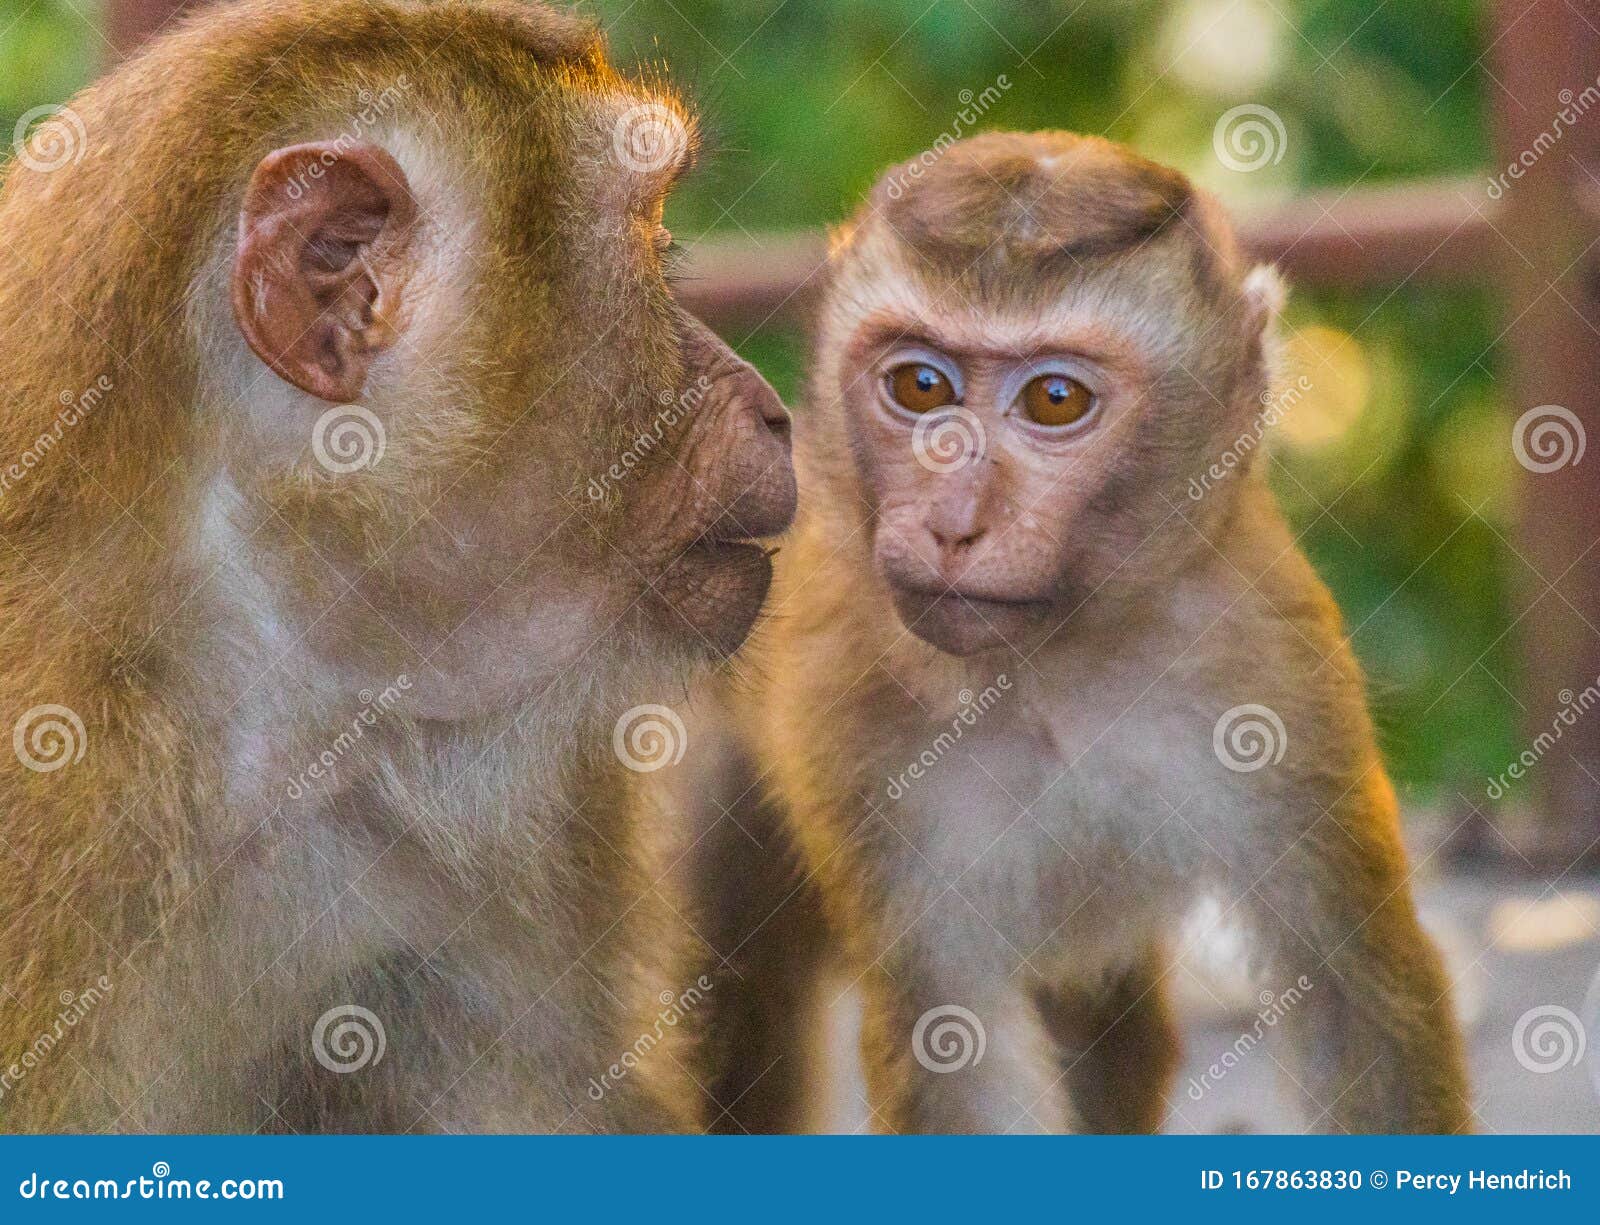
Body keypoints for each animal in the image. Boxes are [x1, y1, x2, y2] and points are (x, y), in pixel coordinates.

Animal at [679, 131, 1471, 1134]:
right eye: (920, 386)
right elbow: (953, 1040)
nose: (954, 522)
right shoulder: (853, 727)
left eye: (1055, 399)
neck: (1049, 665)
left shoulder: (1271, 674)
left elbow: (1346, 983)